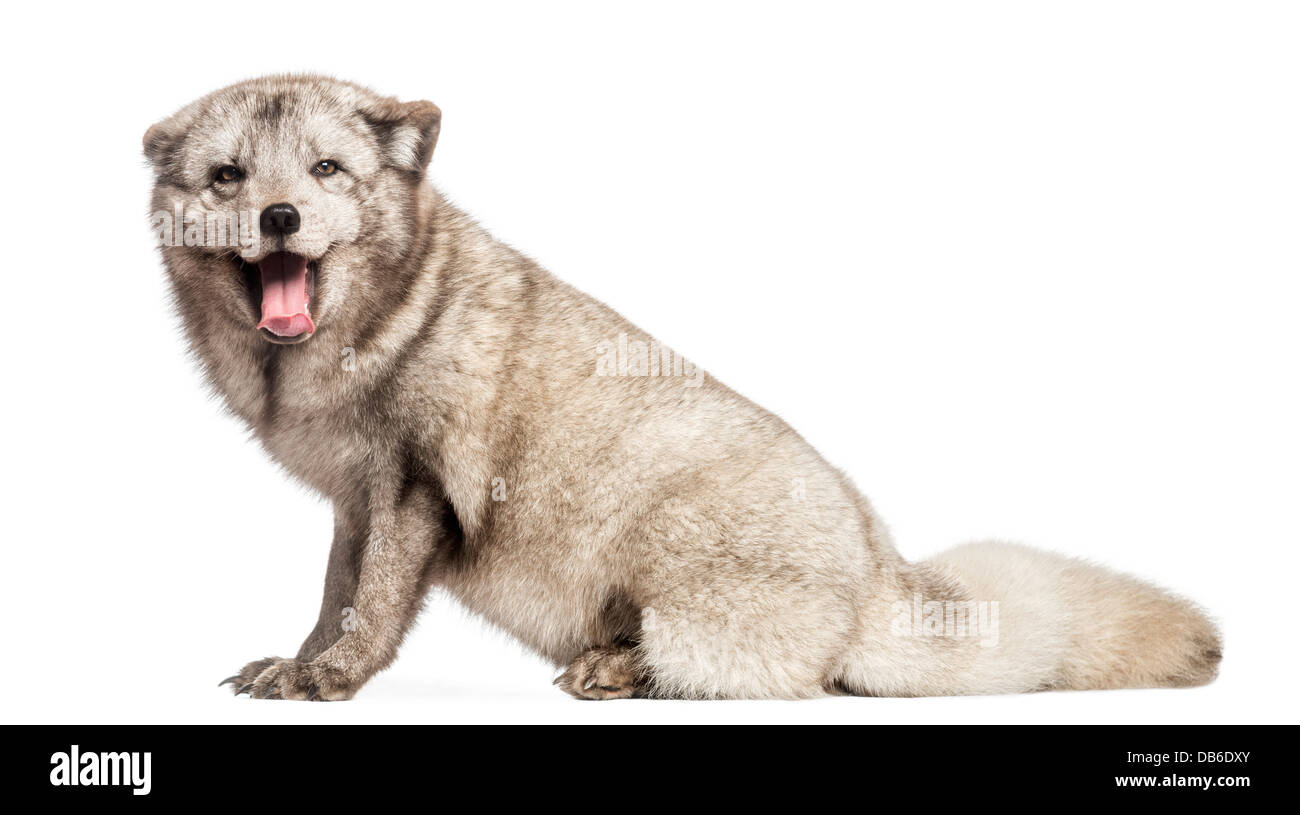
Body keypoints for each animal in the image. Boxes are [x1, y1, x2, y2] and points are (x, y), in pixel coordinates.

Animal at [145, 75, 1221, 700]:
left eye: (327, 168)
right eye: (230, 175)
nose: (280, 215)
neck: (382, 325)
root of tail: (882, 568)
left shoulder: (411, 488)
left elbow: (369, 607)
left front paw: (333, 677)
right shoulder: (354, 502)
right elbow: (335, 592)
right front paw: (300, 658)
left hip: (674, 558)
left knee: (785, 677)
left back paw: (619, 669)